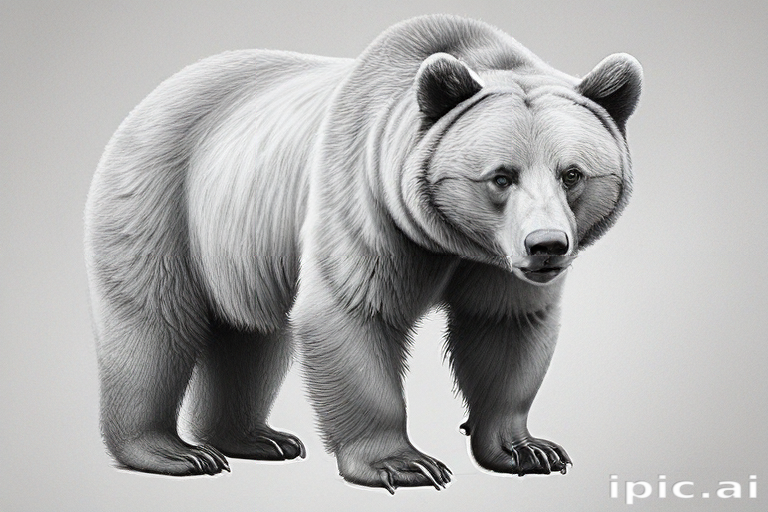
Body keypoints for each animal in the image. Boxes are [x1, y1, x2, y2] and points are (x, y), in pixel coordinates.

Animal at [85, 14, 641, 492]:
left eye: (572, 173)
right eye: (501, 176)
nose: (546, 245)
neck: (454, 242)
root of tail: (158, 93)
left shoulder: (495, 266)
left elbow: (504, 327)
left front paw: (528, 449)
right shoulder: (365, 199)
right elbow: (353, 313)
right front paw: (404, 464)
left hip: (242, 242)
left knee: (249, 335)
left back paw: (256, 439)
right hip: (162, 198)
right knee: (154, 323)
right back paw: (172, 452)